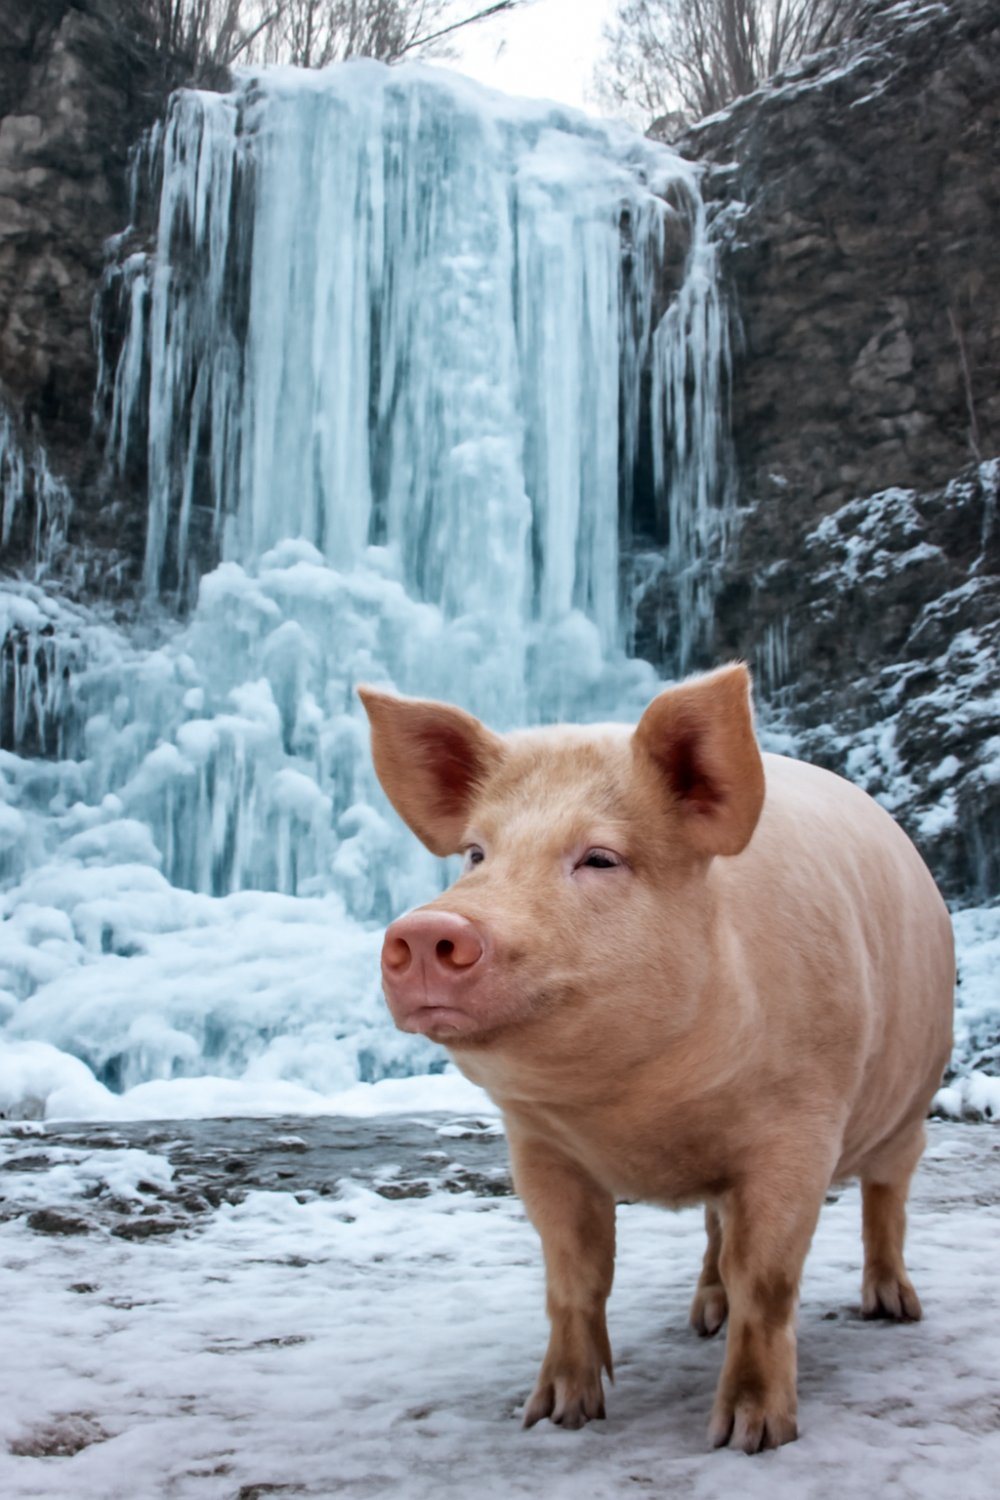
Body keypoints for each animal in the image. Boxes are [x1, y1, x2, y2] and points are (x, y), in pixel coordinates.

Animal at [358, 665, 954, 1454]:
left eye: (600, 857)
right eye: (477, 854)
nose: (428, 929)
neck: (635, 1113)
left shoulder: (801, 1125)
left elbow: (767, 1276)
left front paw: (747, 1436)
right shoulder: (538, 1146)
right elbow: (575, 1274)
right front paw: (552, 1416)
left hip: (913, 1101)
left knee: (887, 1196)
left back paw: (893, 1309)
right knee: (715, 1231)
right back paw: (704, 1319)